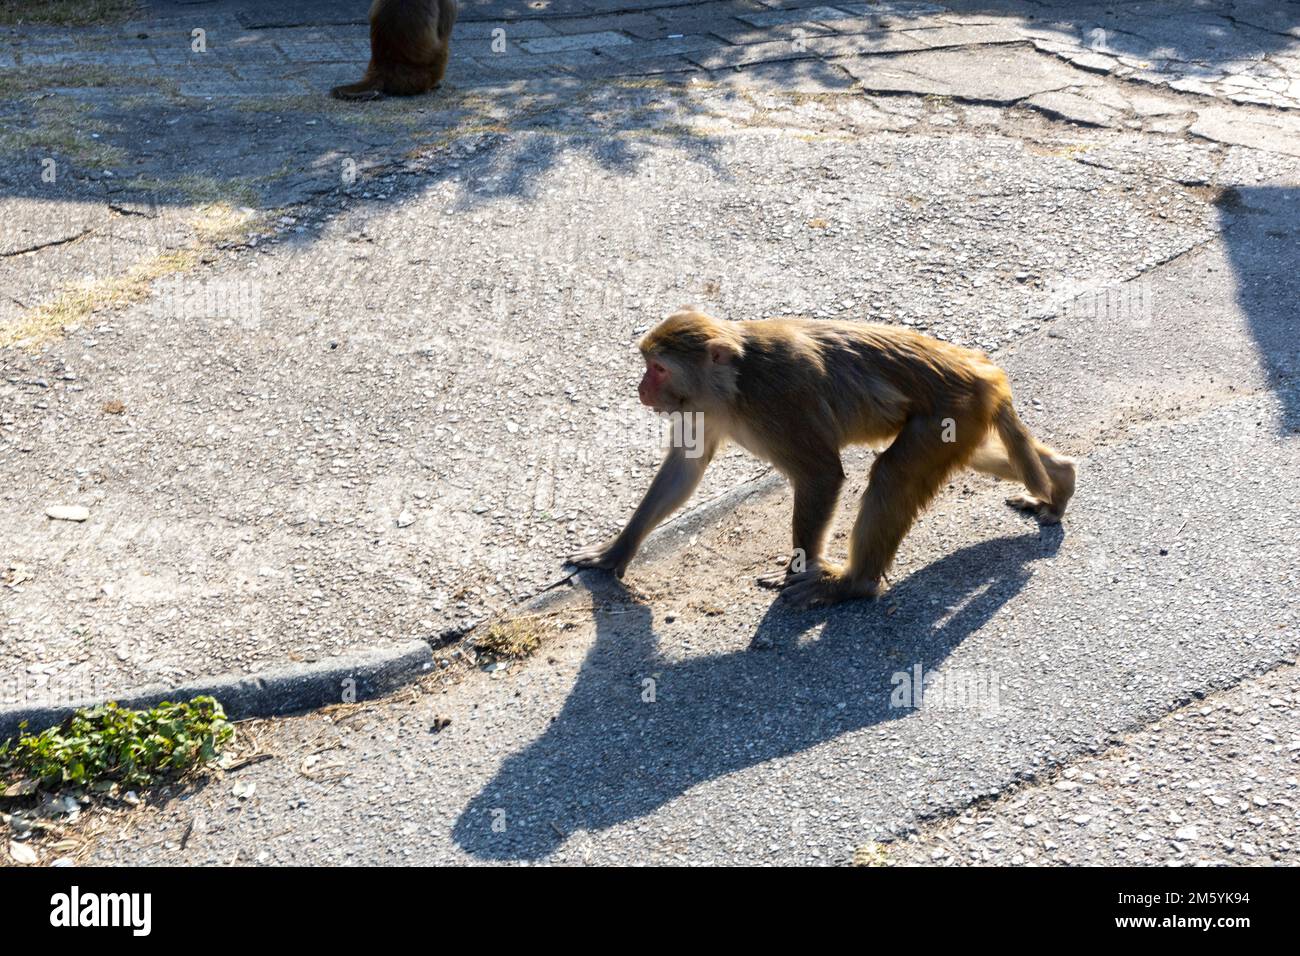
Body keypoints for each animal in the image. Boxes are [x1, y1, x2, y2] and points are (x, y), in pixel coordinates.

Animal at [567, 309, 1076, 607]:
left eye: (657, 368)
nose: (640, 389)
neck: (735, 383)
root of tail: (980, 366)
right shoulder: (702, 409)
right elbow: (684, 468)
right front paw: (616, 552)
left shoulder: (779, 399)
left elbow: (822, 474)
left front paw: (799, 568)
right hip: (963, 417)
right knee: (972, 458)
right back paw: (1061, 480)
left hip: (952, 409)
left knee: (891, 474)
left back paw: (853, 584)